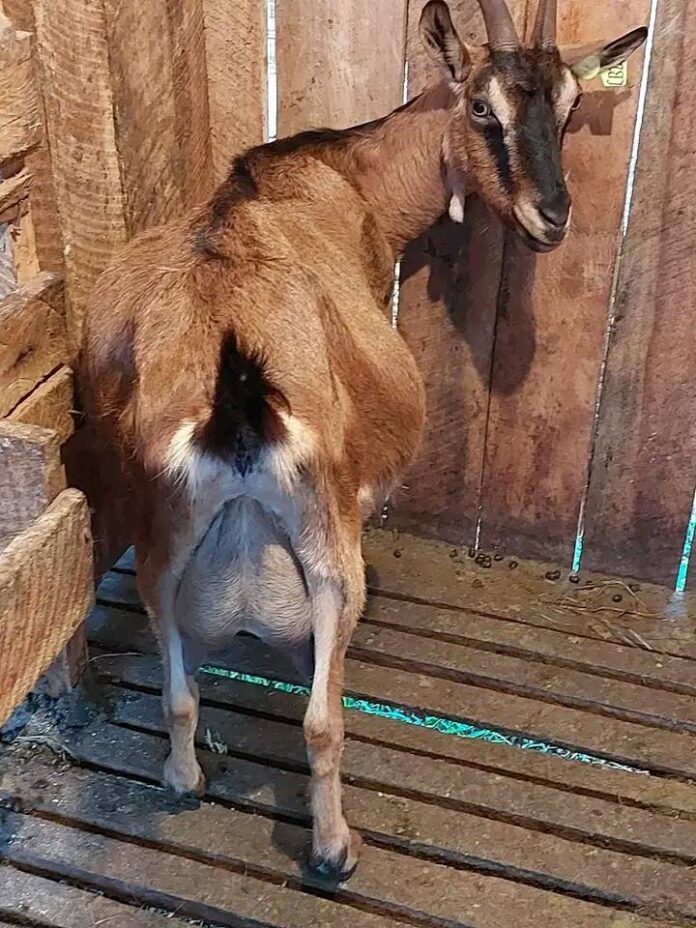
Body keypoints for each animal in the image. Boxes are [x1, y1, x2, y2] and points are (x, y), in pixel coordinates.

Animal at [82, 0, 646, 880]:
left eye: (568, 105)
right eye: (482, 106)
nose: (550, 217)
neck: (343, 177)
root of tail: (236, 404)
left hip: (161, 547)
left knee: (177, 690)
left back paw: (184, 776)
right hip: (327, 550)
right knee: (321, 719)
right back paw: (334, 848)